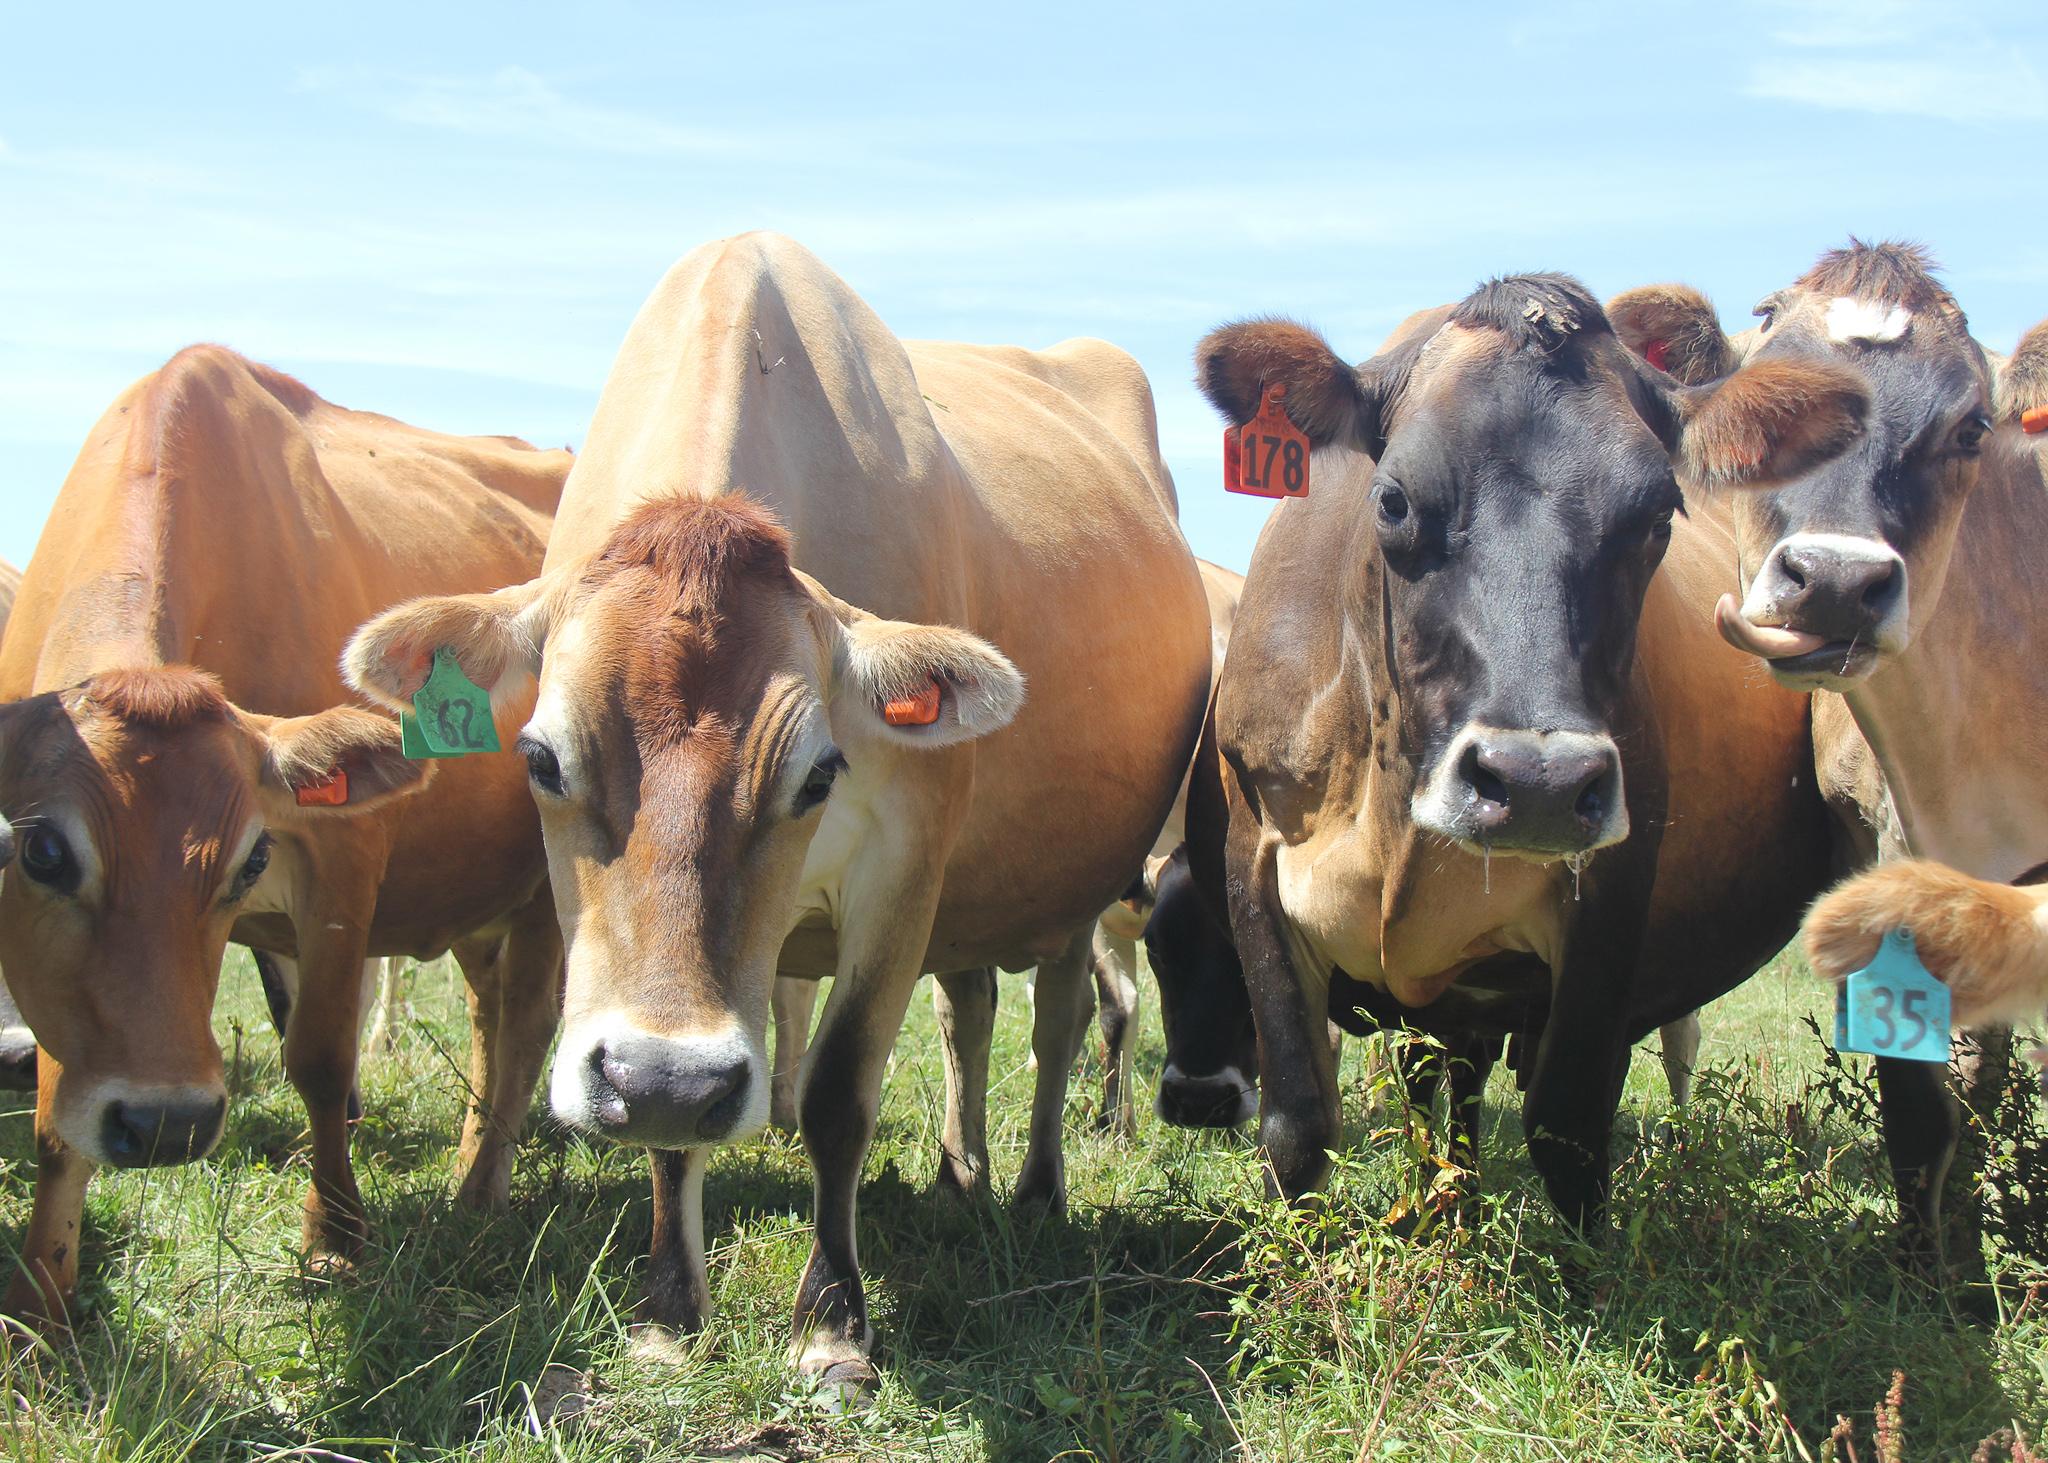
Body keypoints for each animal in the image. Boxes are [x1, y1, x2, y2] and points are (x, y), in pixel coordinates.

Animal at [0, 347, 571, 1327]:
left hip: (547, 883)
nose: (166, 1122)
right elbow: (50, 1107)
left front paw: (334, 1235)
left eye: (252, 857)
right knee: (489, 1012)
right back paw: (474, 1154)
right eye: (42, 851)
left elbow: (319, 1056)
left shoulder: (344, 857)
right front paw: (41, 1297)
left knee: (529, 1016)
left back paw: (482, 1186)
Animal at [342, 233, 1212, 1392]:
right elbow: (676, 1138)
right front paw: (667, 1308)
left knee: (1063, 1018)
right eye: (539, 757)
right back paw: (959, 1172)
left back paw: (1033, 1189)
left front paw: (833, 1322)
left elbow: (841, 1091)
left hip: (1073, 886)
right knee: (971, 1011)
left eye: (817, 774)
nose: (665, 1072)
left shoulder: (905, 862)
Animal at [1189, 277, 1867, 1233]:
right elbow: (1298, 1127)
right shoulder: (1252, 858)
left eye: (1657, 513)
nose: (1538, 783)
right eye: (1393, 499)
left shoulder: (1612, 889)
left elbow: (1570, 1126)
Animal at [1609, 240, 2048, 1272]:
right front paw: (1930, 1265)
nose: (1838, 584)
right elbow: (1917, 1098)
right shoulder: (1877, 849)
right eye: (1757, 422)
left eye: (1971, 428)